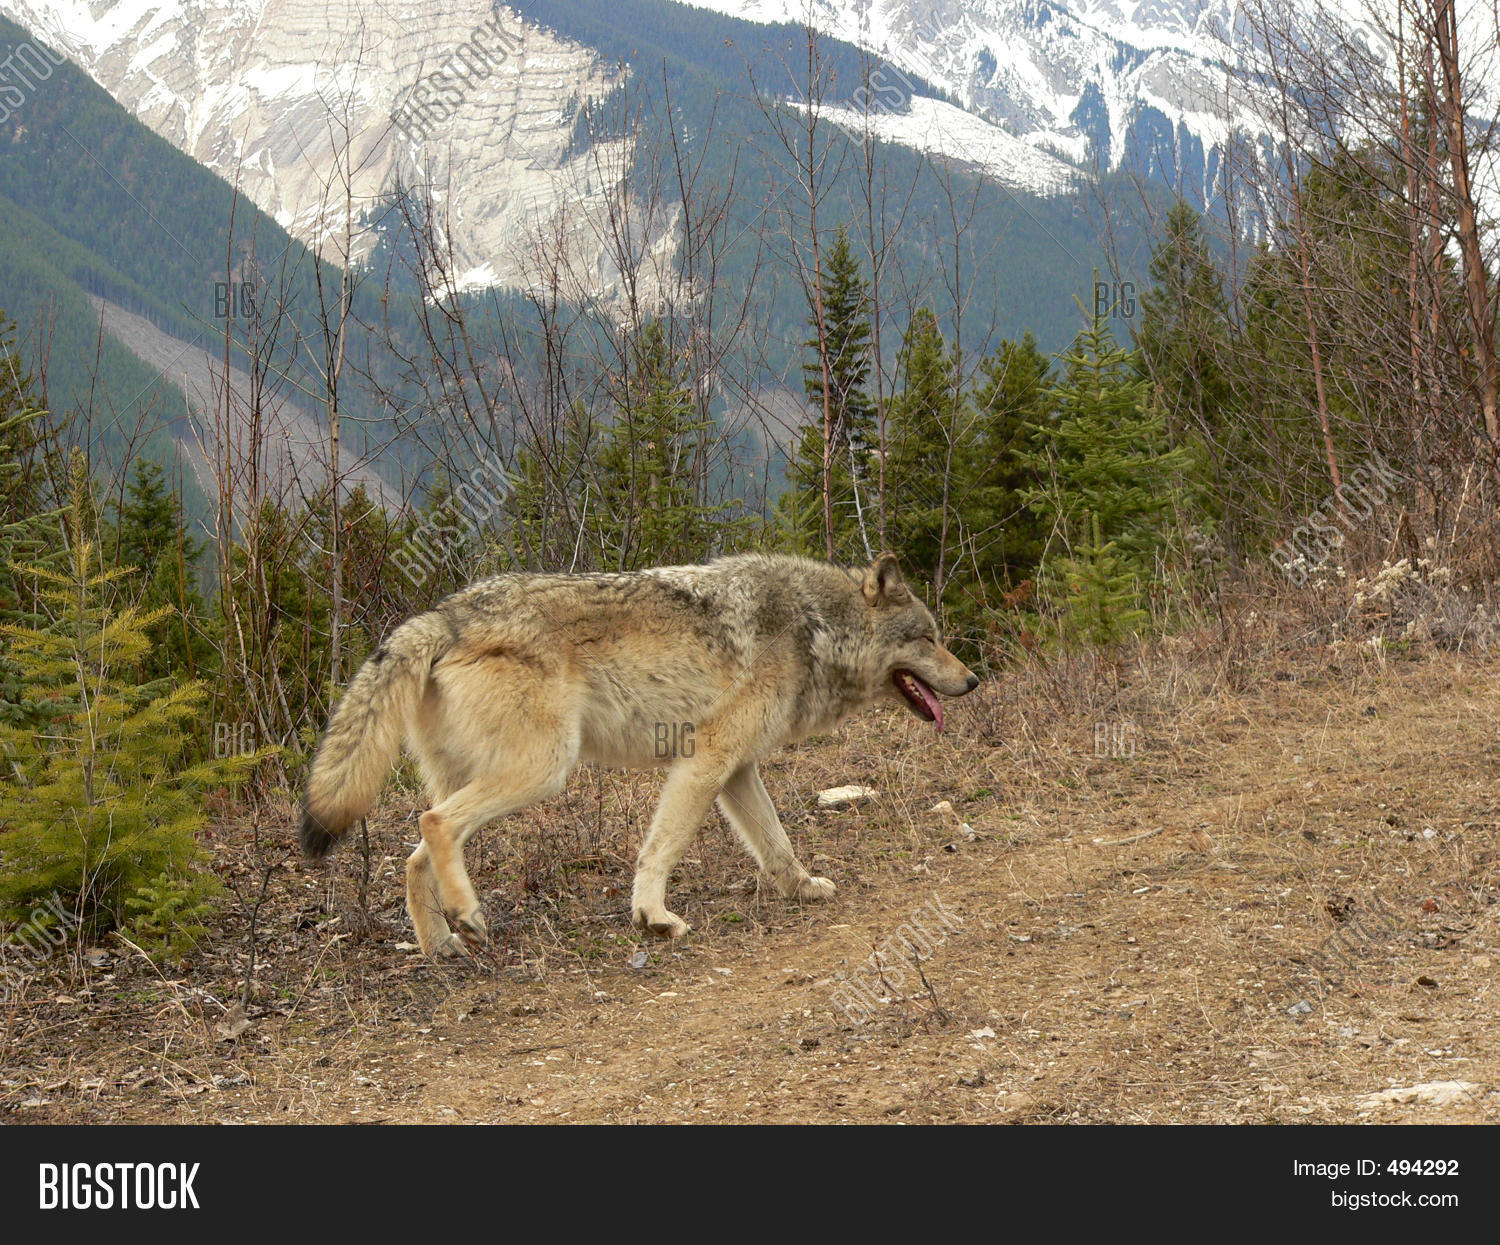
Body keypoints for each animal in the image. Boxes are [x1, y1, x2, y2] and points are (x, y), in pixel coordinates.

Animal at [299, 551, 979, 956]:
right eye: (928, 640)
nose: (972, 681)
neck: (815, 628)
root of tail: (444, 616)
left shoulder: (737, 770)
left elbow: (777, 845)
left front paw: (802, 887)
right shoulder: (704, 762)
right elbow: (662, 850)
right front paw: (653, 916)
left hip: (487, 775)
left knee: (414, 853)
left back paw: (440, 941)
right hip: (543, 771)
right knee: (434, 823)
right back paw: (468, 916)